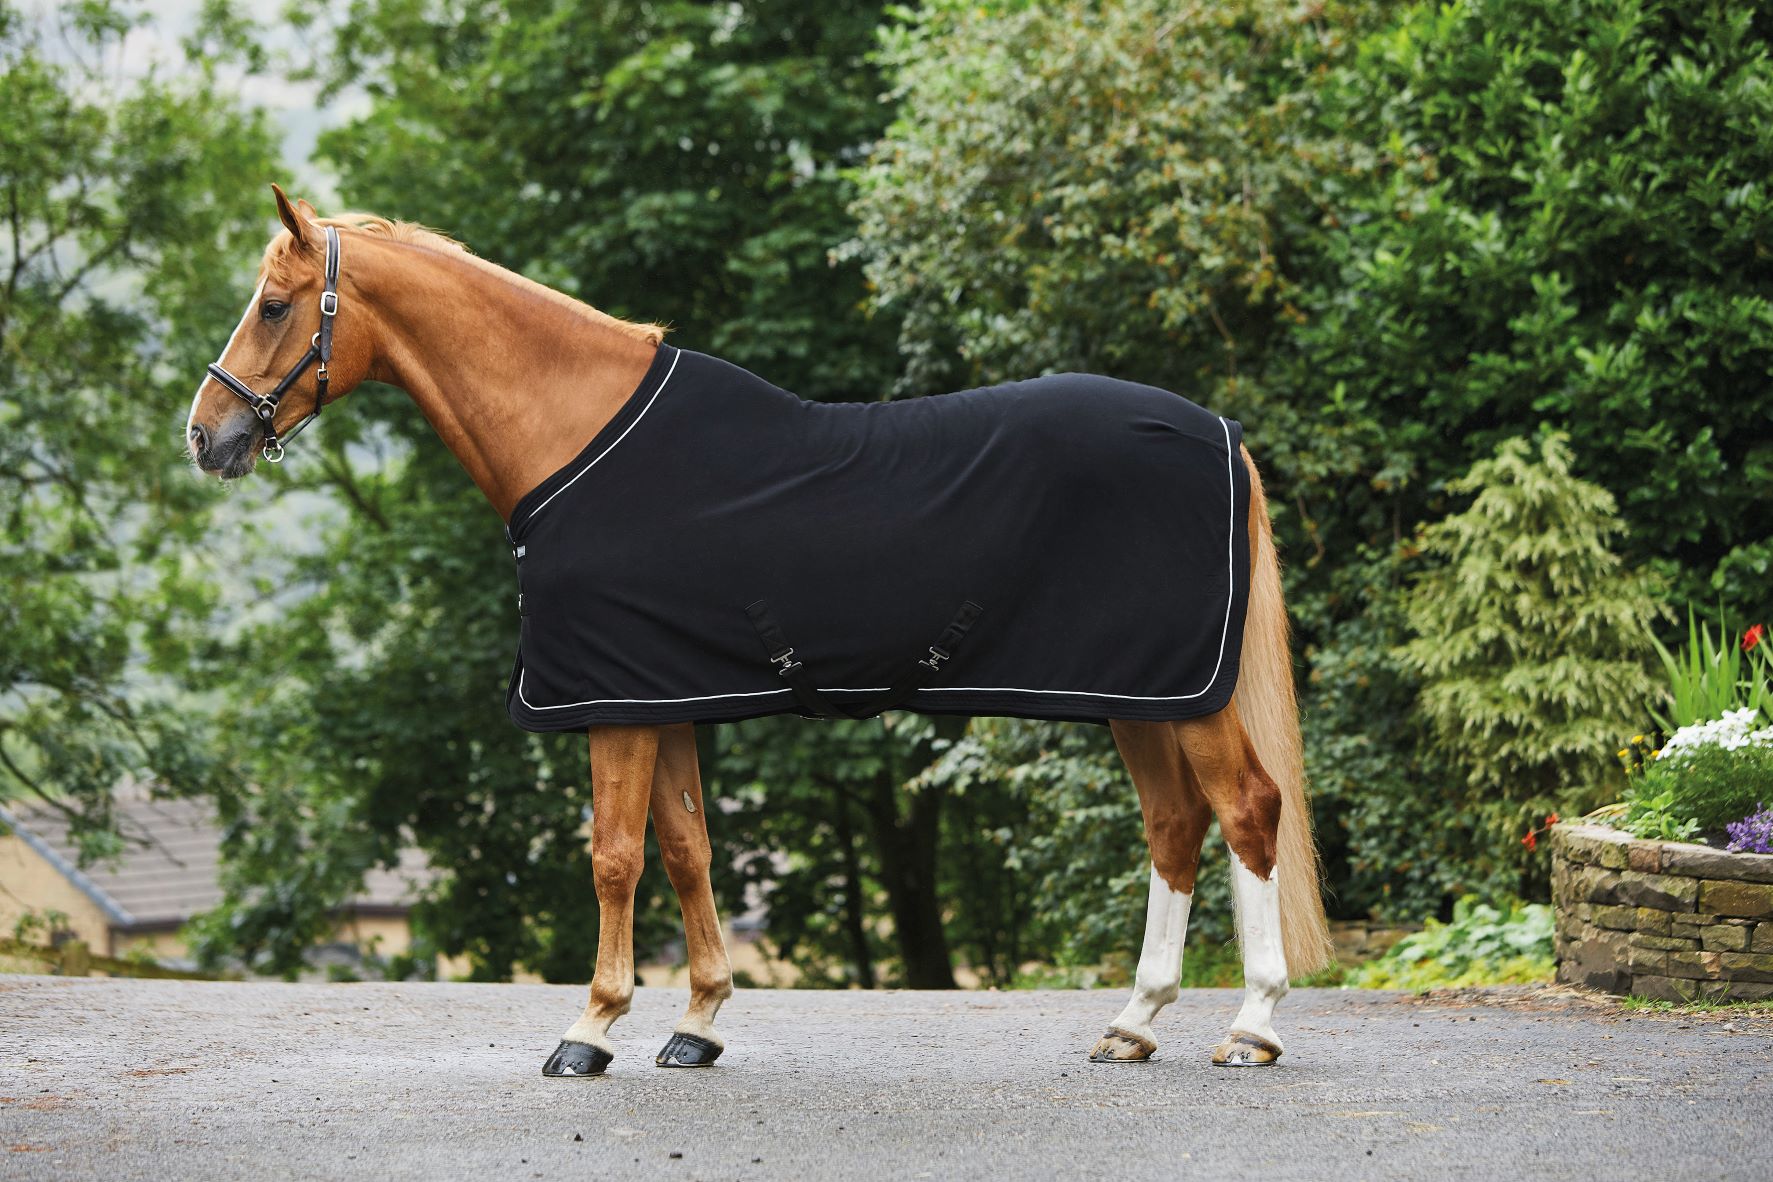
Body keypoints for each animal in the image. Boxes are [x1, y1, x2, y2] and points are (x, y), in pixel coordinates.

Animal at [185, 186, 1332, 1075]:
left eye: (275, 306)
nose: (206, 435)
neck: (577, 434)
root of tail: (1220, 434)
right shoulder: (661, 693)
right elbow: (688, 847)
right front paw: (696, 1023)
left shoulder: (613, 701)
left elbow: (614, 856)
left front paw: (590, 1030)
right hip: (1140, 695)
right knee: (1174, 828)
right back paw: (1132, 1024)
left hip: (1187, 698)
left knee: (1247, 811)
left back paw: (1250, 1027)